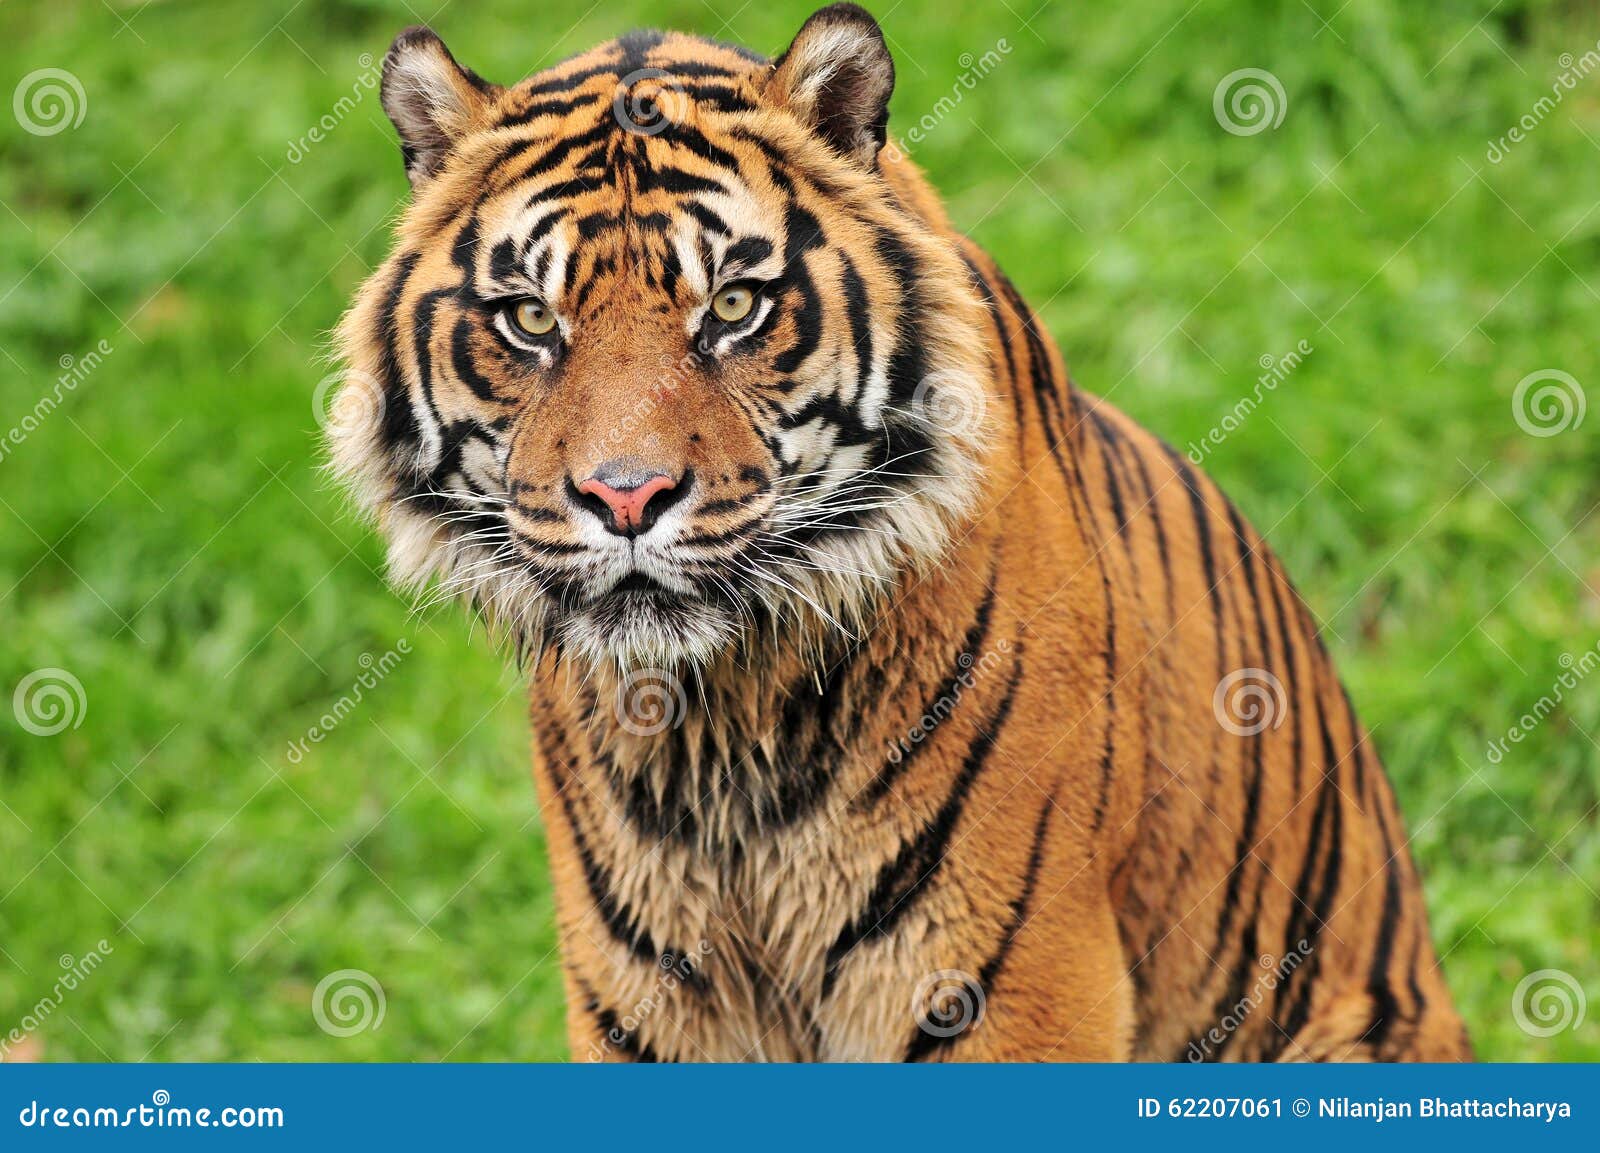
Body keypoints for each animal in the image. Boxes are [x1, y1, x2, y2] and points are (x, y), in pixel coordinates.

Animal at [328, 3, 1472, 1061]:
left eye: (734, 306)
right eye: (530, 318)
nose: (626, 497)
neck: (721, 727)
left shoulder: (1001, 985)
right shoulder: (644, 998)